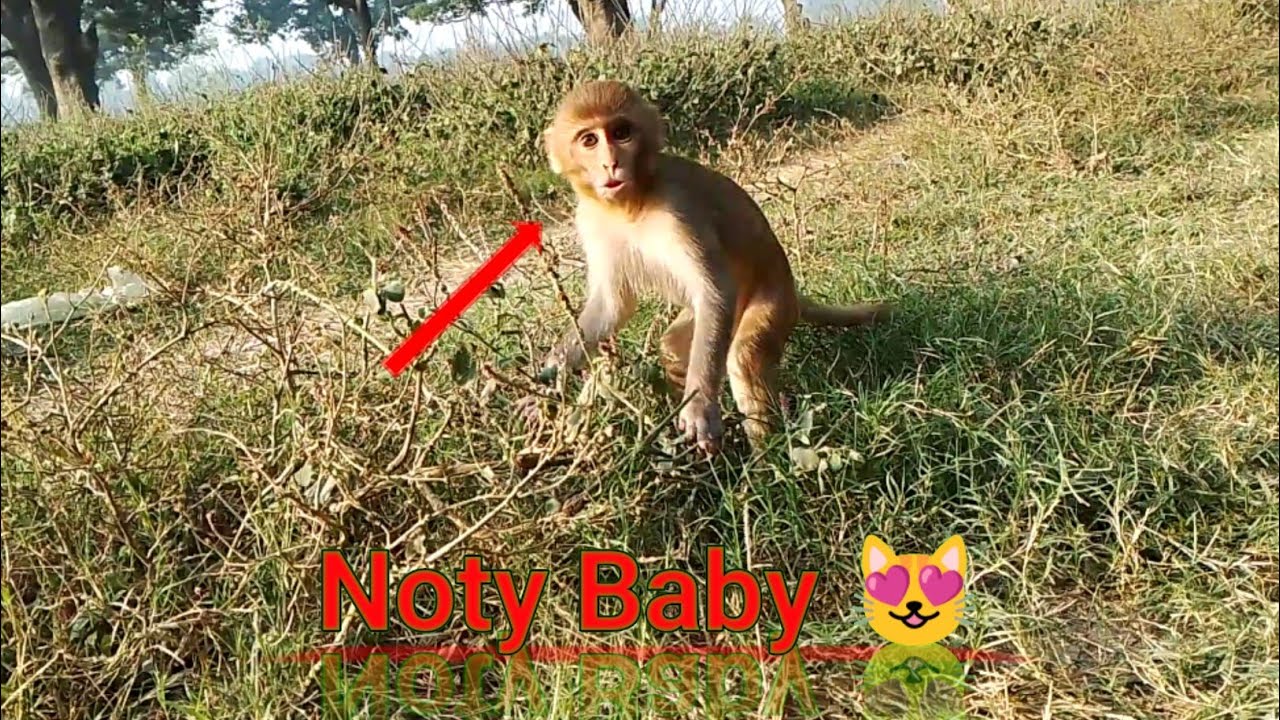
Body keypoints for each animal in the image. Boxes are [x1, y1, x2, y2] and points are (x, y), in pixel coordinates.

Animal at [532, 80, 890, 454]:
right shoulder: (590, 219)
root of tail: (791, 289)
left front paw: (700, 406)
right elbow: (613, 305)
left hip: (773, 301)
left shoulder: (677, 208)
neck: (631, 204)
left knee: (743, 356)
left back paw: (764, 460)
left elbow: (714, 291)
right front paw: (553, 370)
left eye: (620, 132)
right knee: (674, 348)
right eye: (589, 140)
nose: (610, 163)